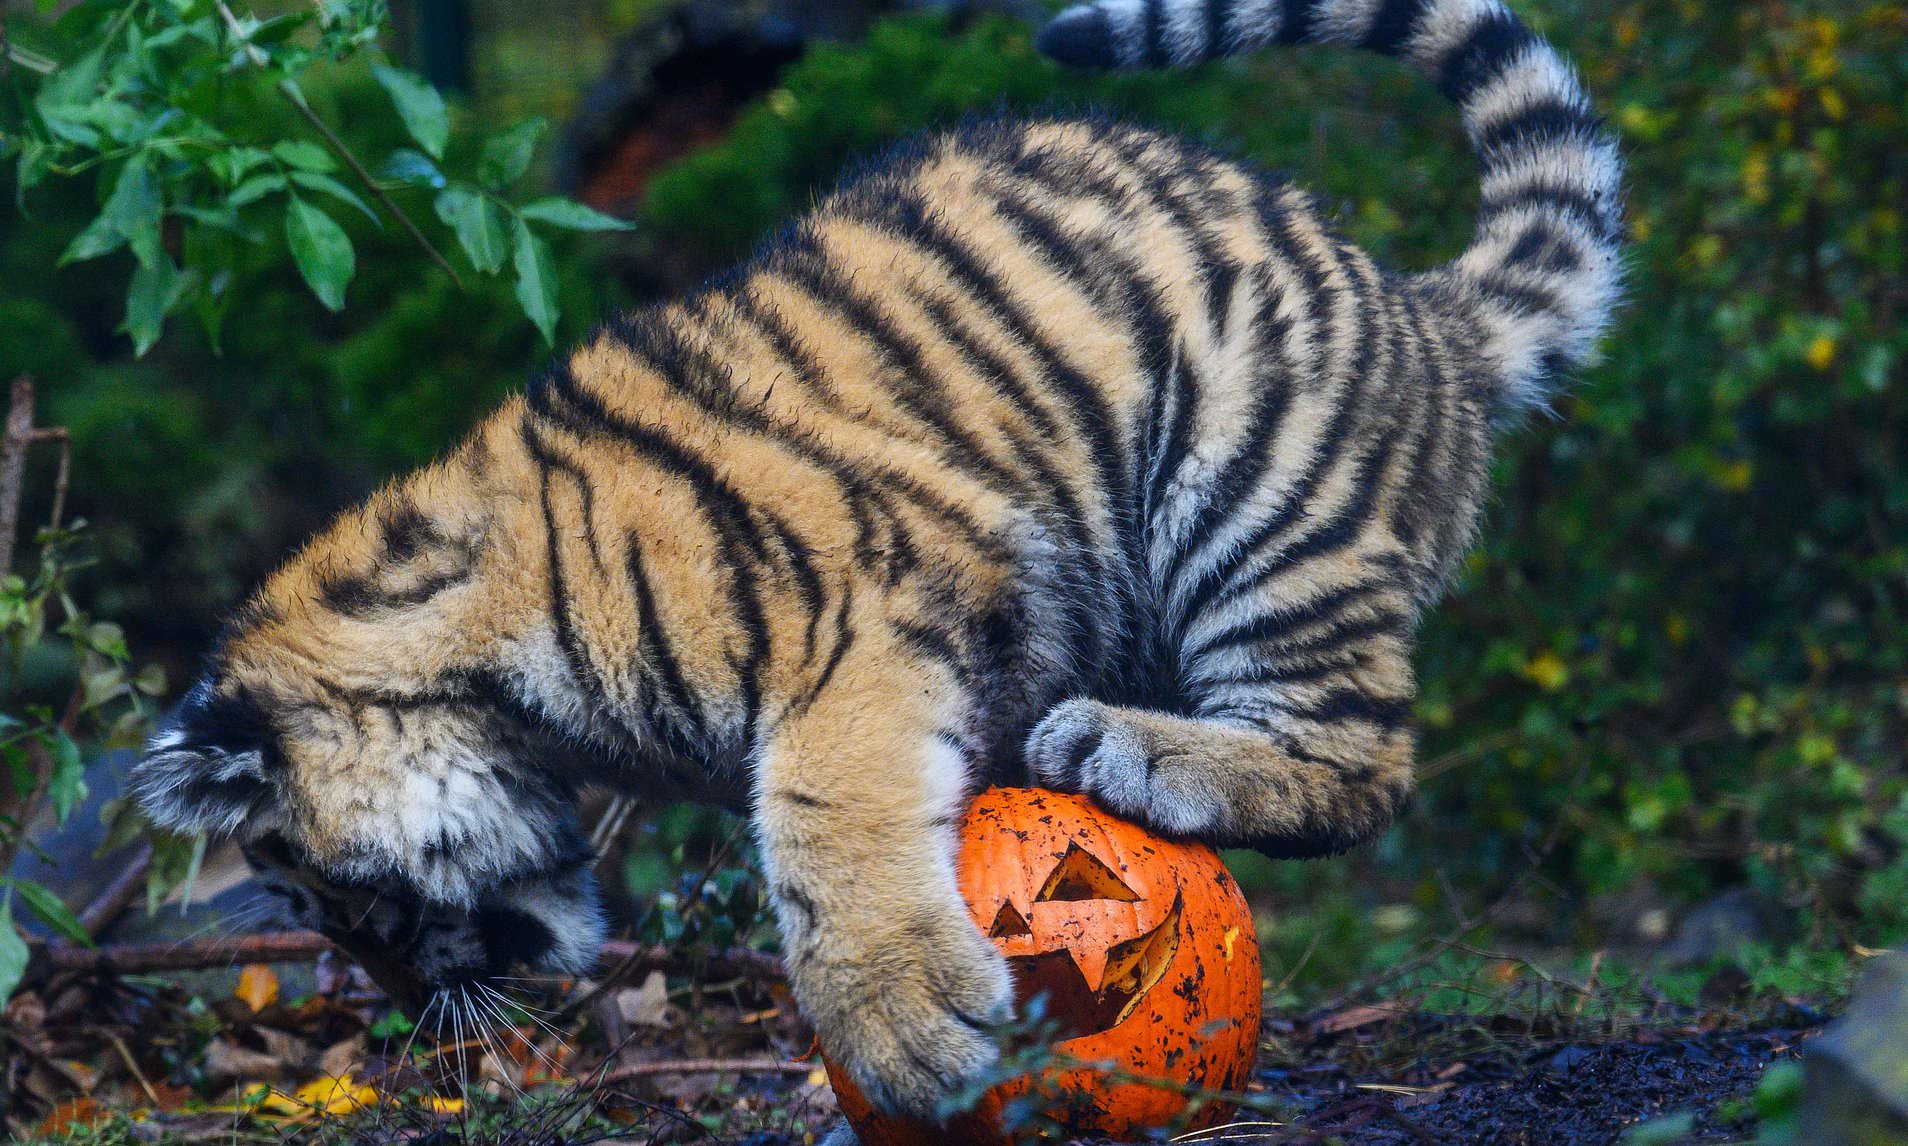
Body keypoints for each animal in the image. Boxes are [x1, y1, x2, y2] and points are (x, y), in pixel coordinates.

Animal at [130, 0, 1622, 1122]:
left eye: (344, 904)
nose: (424, 1016)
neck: (505, 684)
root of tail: (1426, 312)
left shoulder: (863, 607)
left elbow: (823, 817)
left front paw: (904, 1026)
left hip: (1258, 496)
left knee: (1359, 761)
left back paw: (1129, 750)